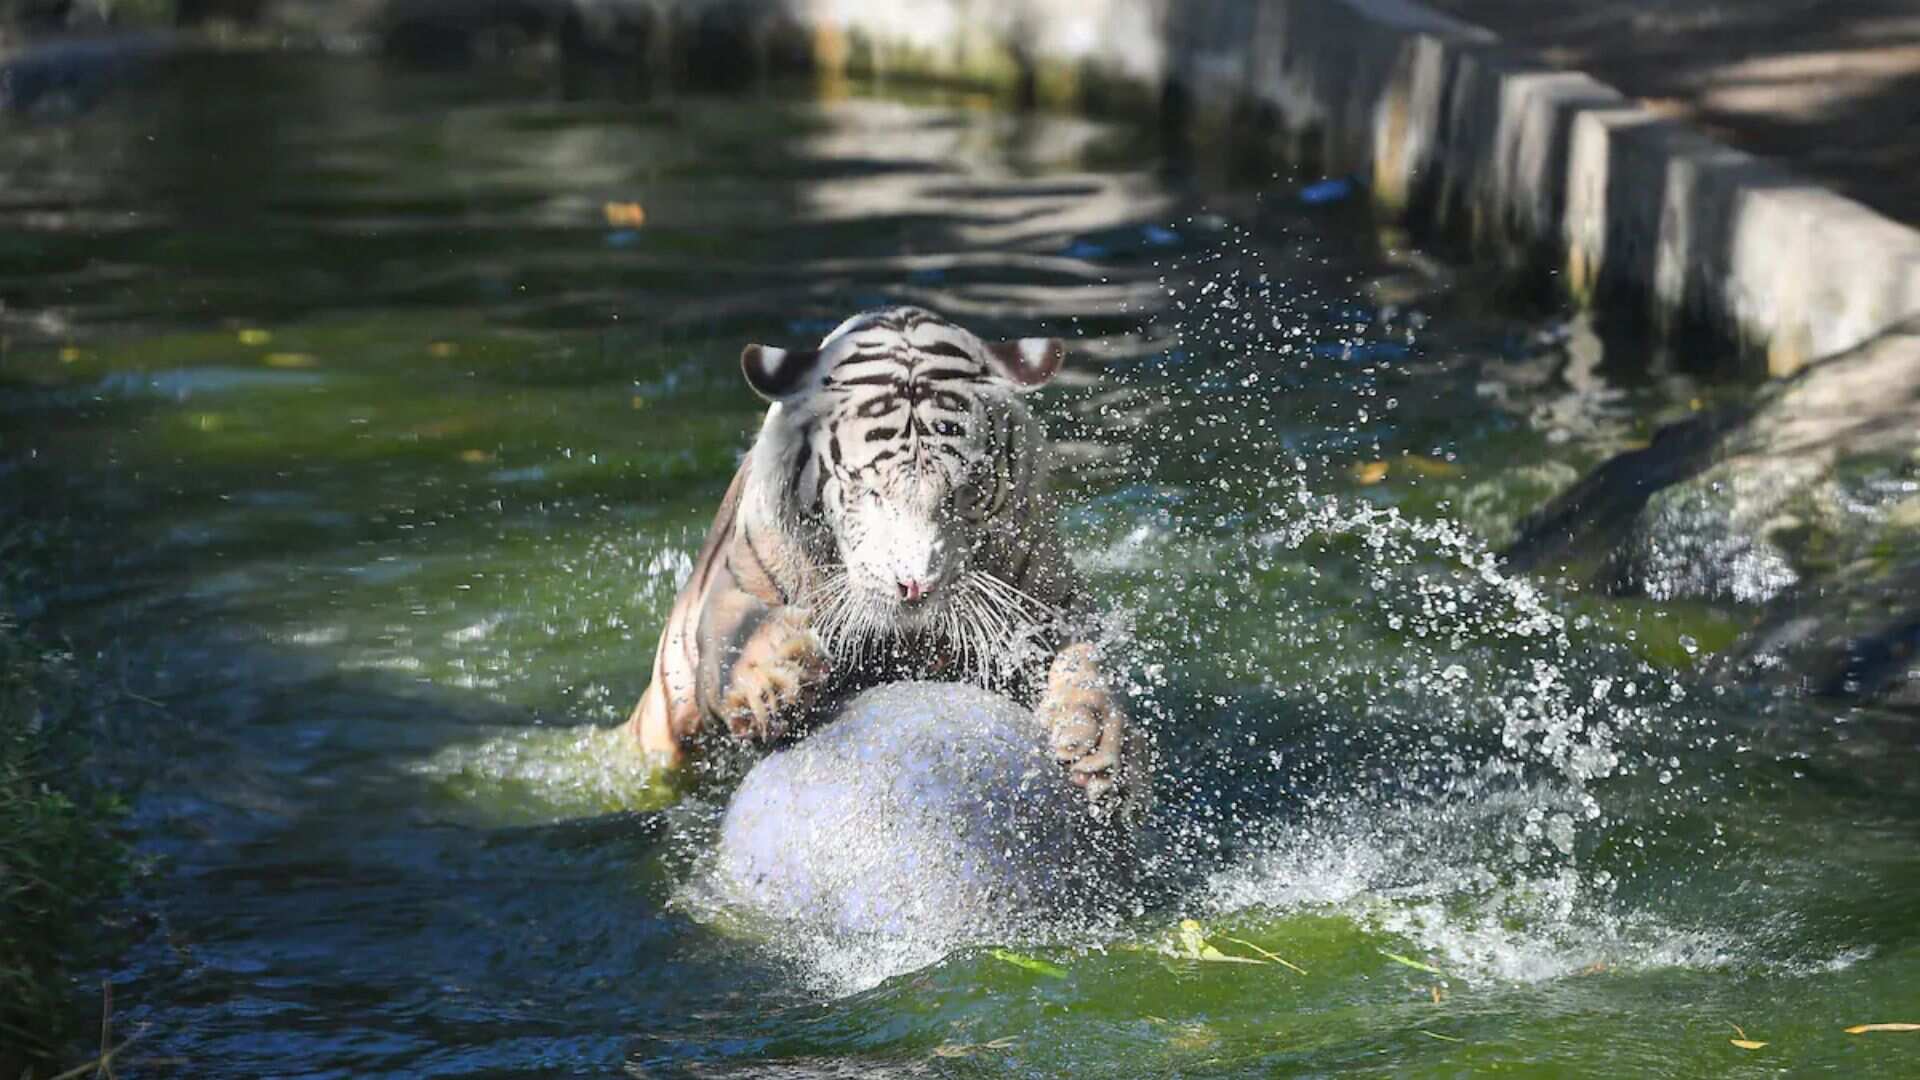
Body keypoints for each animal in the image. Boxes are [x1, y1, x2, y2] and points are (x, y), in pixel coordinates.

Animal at [625, 305, 1138, 815]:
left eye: (962, 492)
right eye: (869, 491)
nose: (916, 587)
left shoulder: (1056, 606)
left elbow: (1089, 662)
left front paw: (1097, 740)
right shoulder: (734, 586)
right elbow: (738, 632)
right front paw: (772, 681)